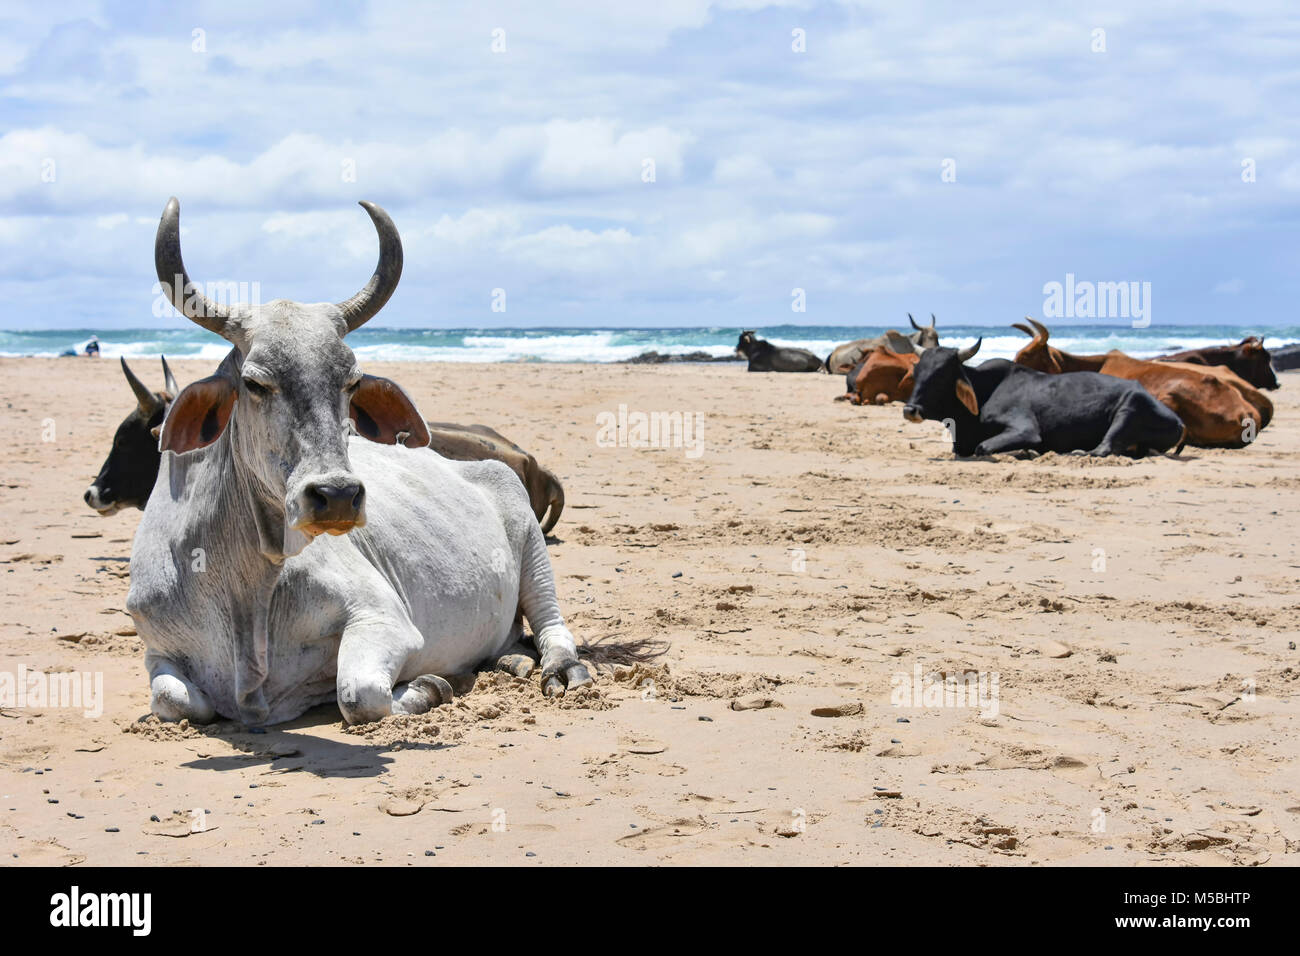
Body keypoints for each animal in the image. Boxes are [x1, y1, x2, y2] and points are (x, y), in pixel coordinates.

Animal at [127, 197, 591, 727]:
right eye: (254, 382)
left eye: (351, 381)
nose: (337, 496)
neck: (244, 592)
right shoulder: (157, 650)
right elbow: (173, 700)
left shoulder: (382, 617)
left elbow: (359, 694)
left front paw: (431, 686)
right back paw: (511, 660)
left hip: (532, 543)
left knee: (552, 623)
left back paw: (559, 668)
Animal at [902, 340, 1185, 458]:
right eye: (917, 372)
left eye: (941, 374)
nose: (909, 410)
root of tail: (1180, 422)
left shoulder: (1024, 428)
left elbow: (984, 447)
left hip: (1129, 407)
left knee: (1104, 449)